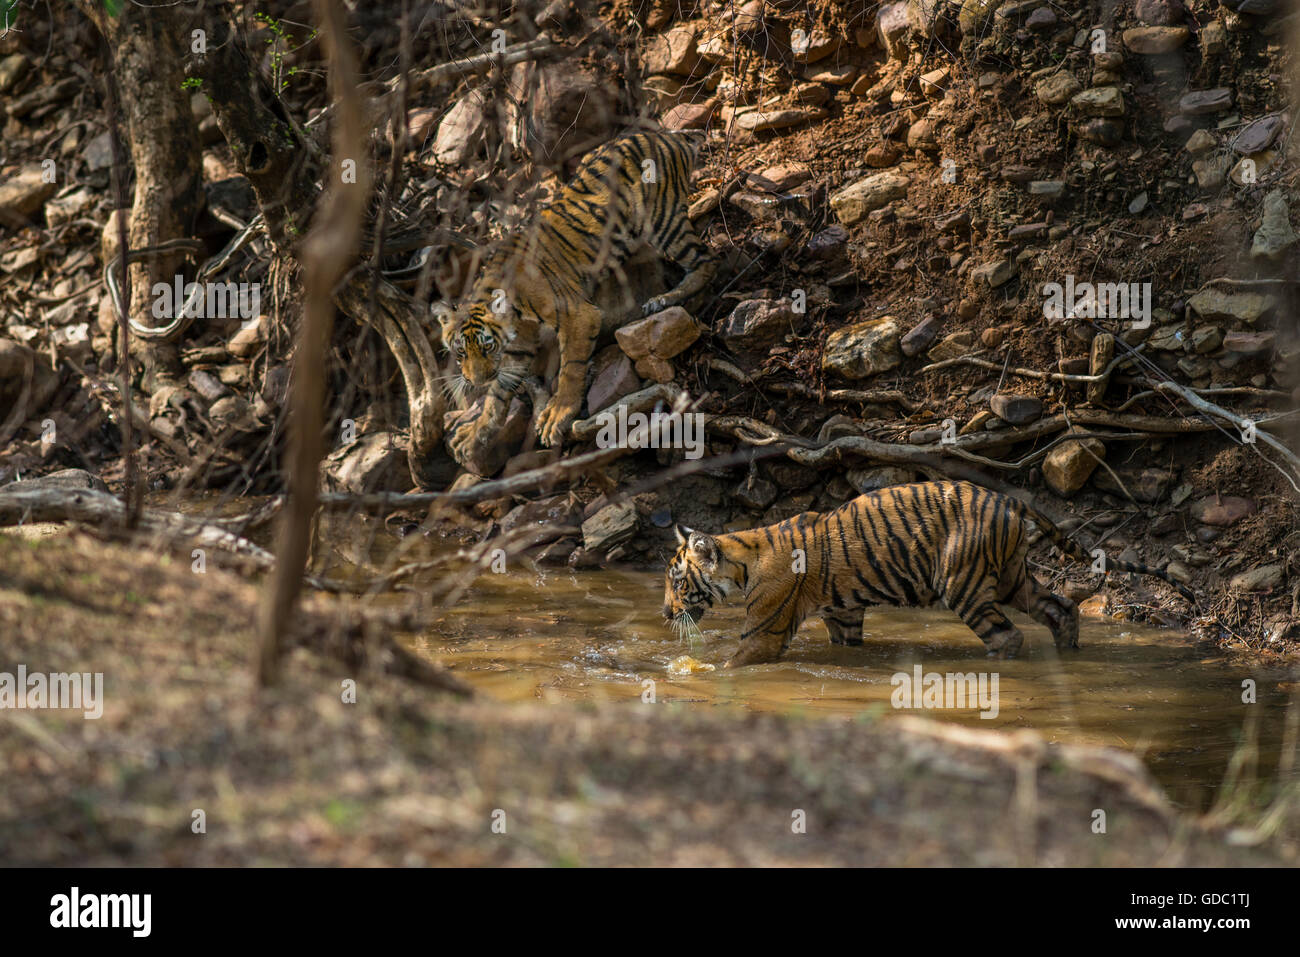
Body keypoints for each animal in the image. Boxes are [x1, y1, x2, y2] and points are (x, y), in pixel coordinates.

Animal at [434, 130, 715, 463]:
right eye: (461, 352)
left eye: (487, 347)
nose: (476, 382)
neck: (515, 316)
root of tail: (666, 134)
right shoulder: (518, 348)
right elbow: (497, 396)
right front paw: (475, 434)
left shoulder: (577, 314)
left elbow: (571, 367)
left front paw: (557, 415)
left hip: (664, 221)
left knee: (706, 260)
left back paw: (665, 299)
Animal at [663, 480, 1195, 668]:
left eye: (676, 582)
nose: (666, 614)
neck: (741, 559)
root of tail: (1009, 498)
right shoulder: (843, 614)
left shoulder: (764, 633)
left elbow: (735, 660)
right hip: (1014, 579)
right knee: (1060, 607)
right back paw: (1069, 653)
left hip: (963, 584)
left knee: (1007, 636)